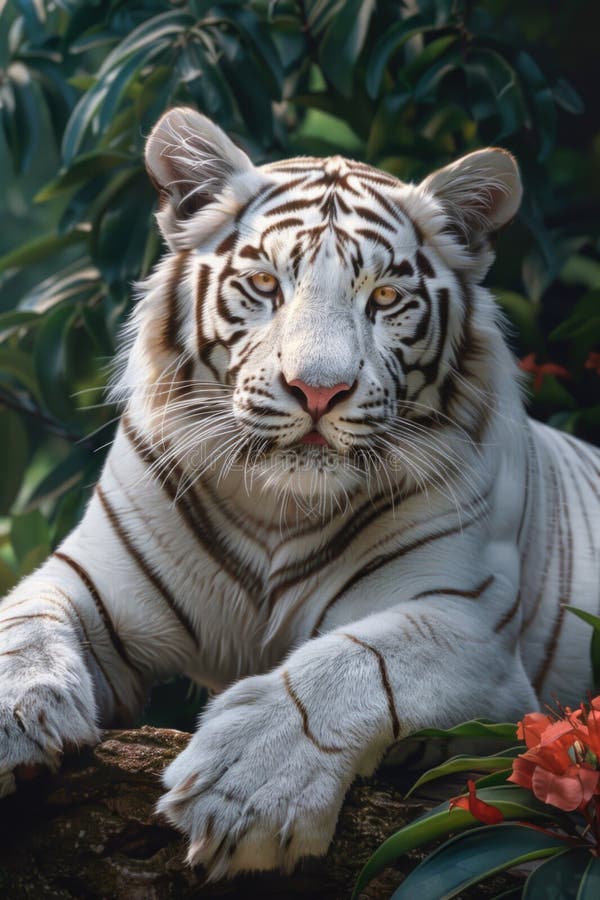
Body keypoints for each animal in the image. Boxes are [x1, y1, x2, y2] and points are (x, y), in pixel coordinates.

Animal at [0, 106, 599, 879]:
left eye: (384, 297)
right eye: (263, 284)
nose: (318, 389)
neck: (276, 507)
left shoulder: (469, 630)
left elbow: (354, 664)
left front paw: (245, 792)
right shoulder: (95, 579)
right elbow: (25, 621)